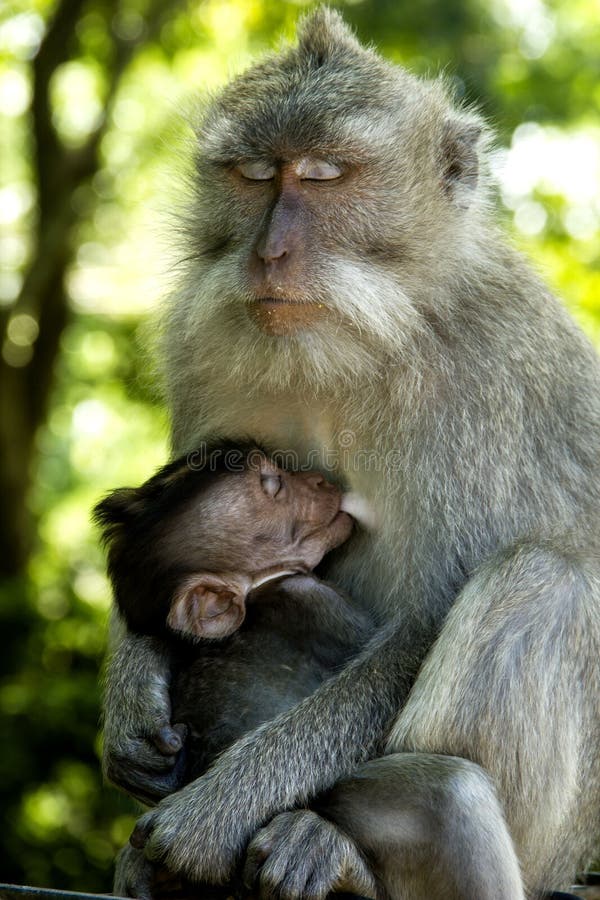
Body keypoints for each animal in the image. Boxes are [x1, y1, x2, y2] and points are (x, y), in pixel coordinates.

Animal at [101, 8, 600, 900]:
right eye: (255, 174)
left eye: (326, 175)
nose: (270, 254)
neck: (359, 335)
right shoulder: (201, 339)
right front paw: (133, 695)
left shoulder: (481, 380)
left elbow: (426, 618)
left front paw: (215, 814)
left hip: (559, 838)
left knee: (544, 576)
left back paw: (333, 845)